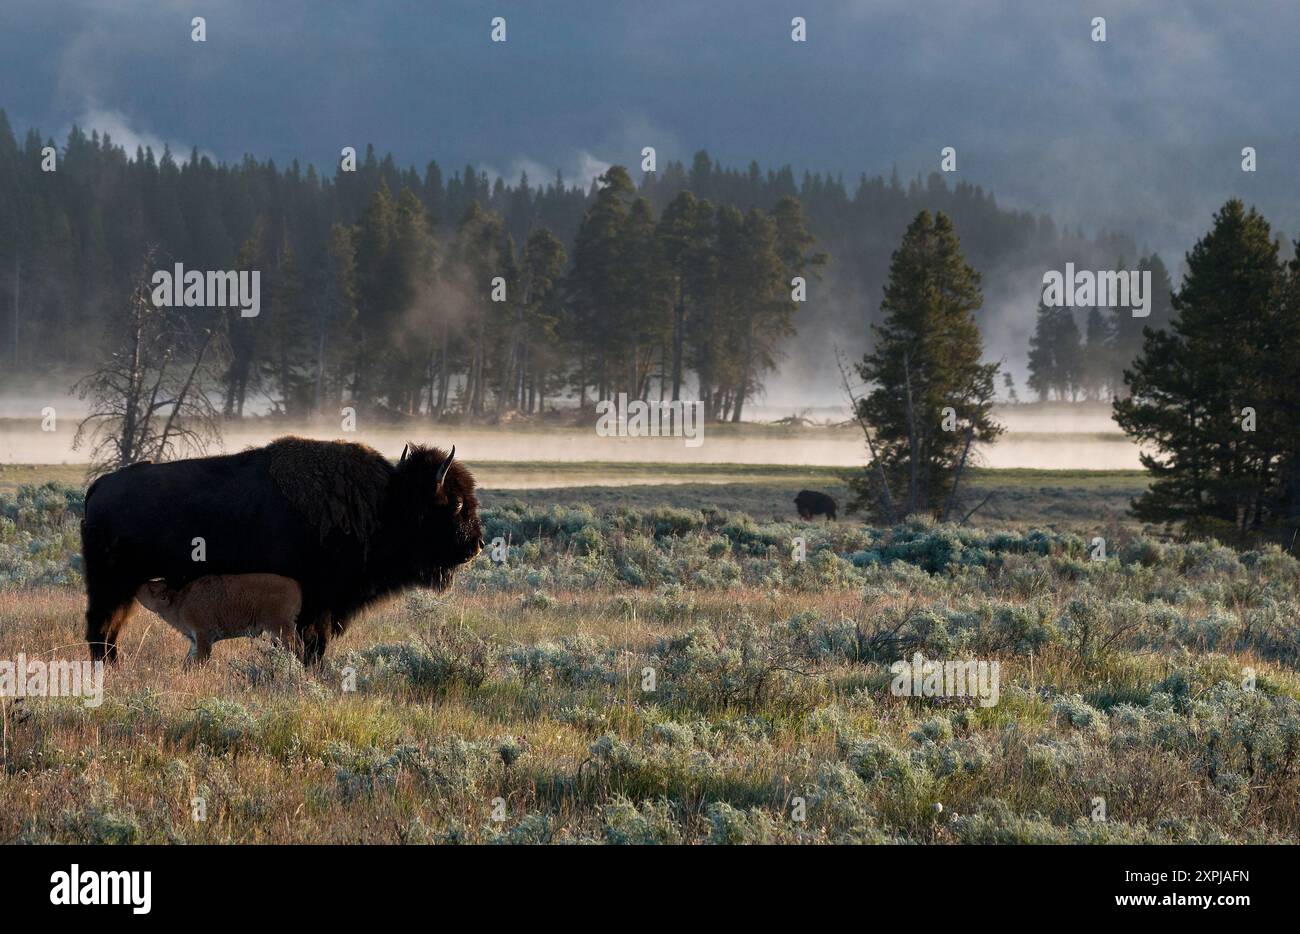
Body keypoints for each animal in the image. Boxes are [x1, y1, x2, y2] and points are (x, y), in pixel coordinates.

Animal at [81, 437, 483, 664]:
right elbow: (313, 647)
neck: (384, 504)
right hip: (111, 585)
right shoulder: (316, 606)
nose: (476, 545)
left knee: (108, 630)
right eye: (457, 504)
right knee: (101, 629)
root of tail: (100, 487)